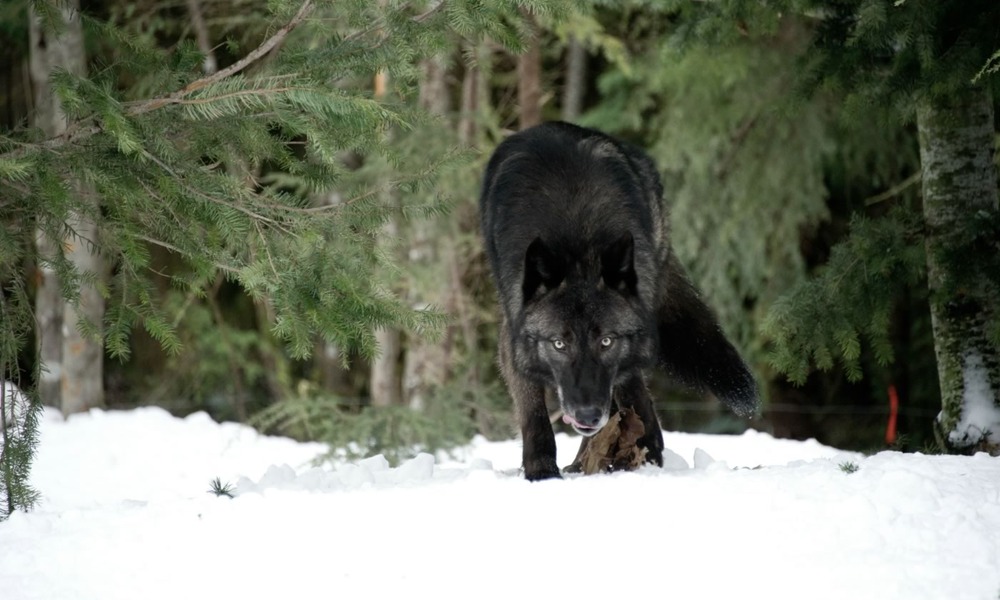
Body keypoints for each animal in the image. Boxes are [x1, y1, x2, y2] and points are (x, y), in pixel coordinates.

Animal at [479, 121, 758, 481]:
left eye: (607, 341)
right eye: (558, 344)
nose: (586, 415)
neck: (579, 244)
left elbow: (630, 392)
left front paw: (645, 448)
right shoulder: (513, 340)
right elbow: (534, 415)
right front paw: (542, 473)